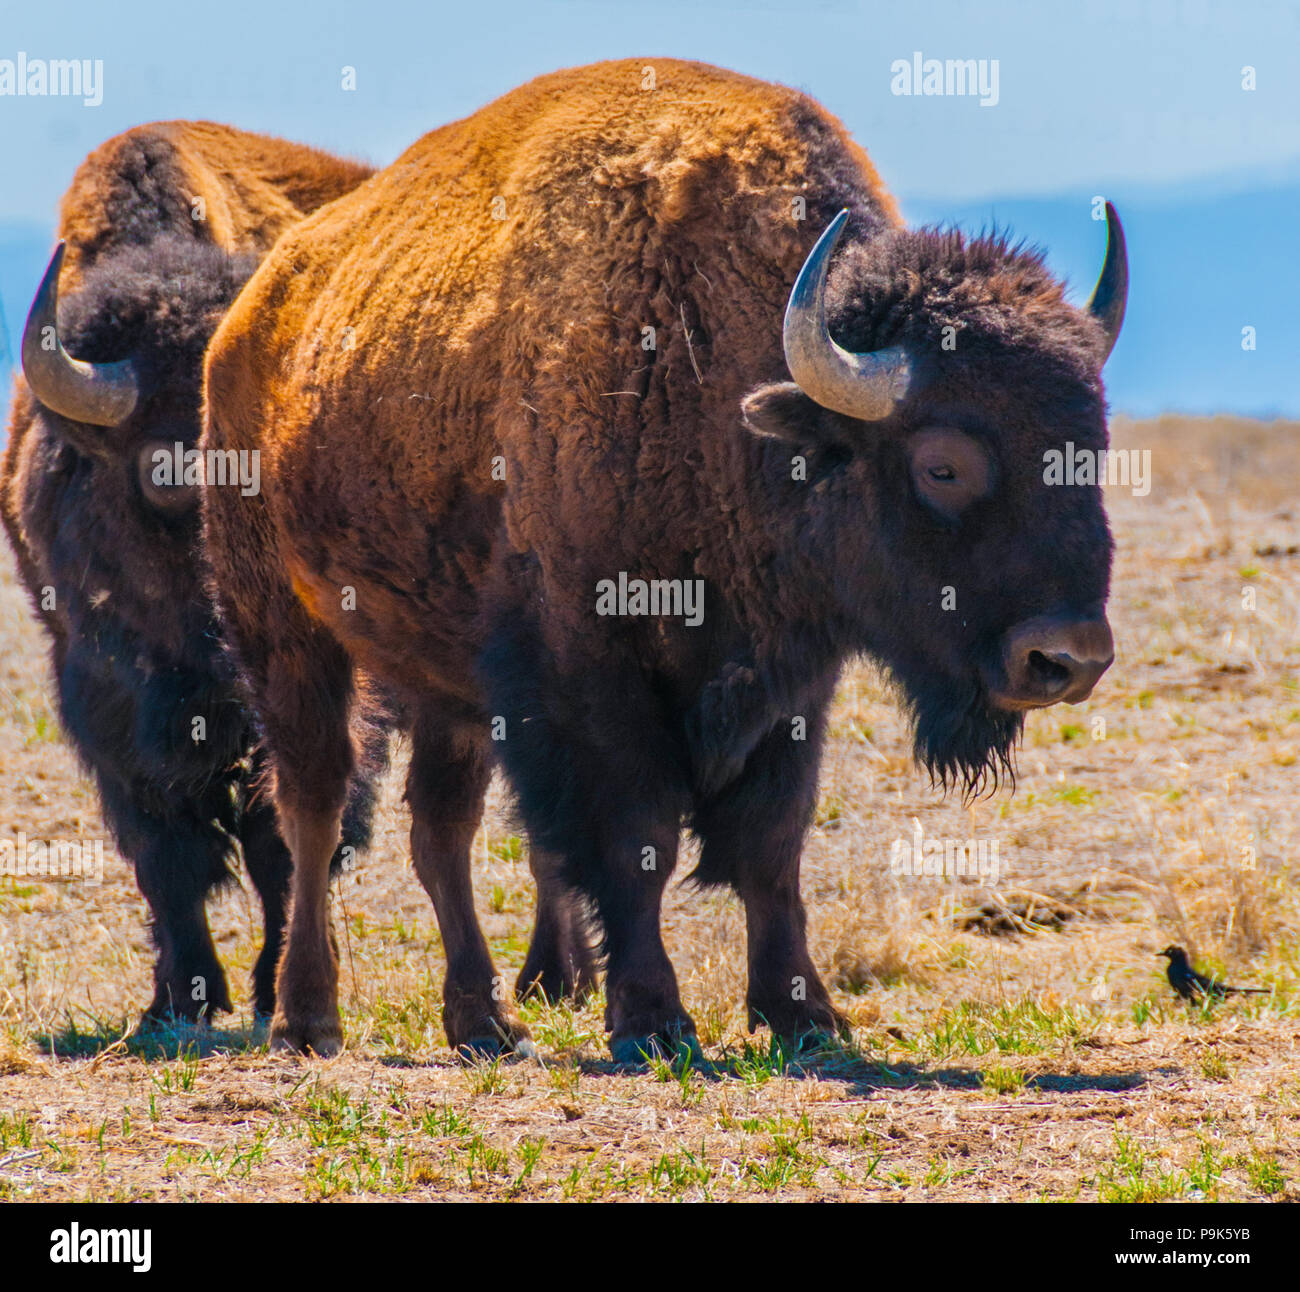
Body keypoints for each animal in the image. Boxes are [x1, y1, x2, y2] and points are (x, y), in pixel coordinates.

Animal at [201, 59, 1125, 1059]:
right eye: (943, 464)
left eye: (1091, 448)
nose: (1066, 657)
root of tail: (252, 317)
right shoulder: (590, 669)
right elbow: (636, 836)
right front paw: (652, 1018)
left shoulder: (791, 682)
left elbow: (770, 843)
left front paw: (804, 1014)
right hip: (282, 630)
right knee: (314, 802)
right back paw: (308, 1017)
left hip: (446, 679)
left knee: (438, 827)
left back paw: (483, 1022)